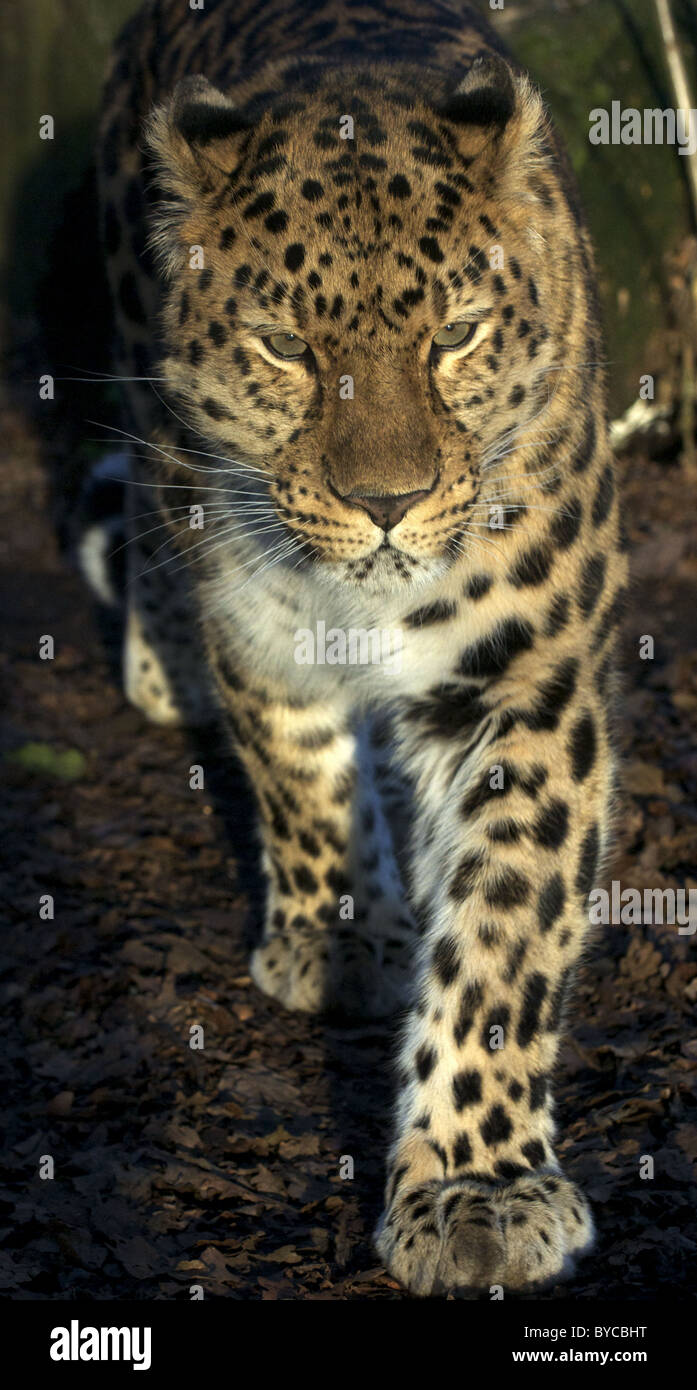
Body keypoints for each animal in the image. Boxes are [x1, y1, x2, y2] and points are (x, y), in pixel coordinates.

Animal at [93, 0, 628, 1296]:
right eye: (285, 346)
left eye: (459, 336)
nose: (388, 502)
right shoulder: (261, 620)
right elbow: (298, 777)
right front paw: (344, 936)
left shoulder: (530, 685)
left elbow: (504, 941)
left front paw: (480, 1189)